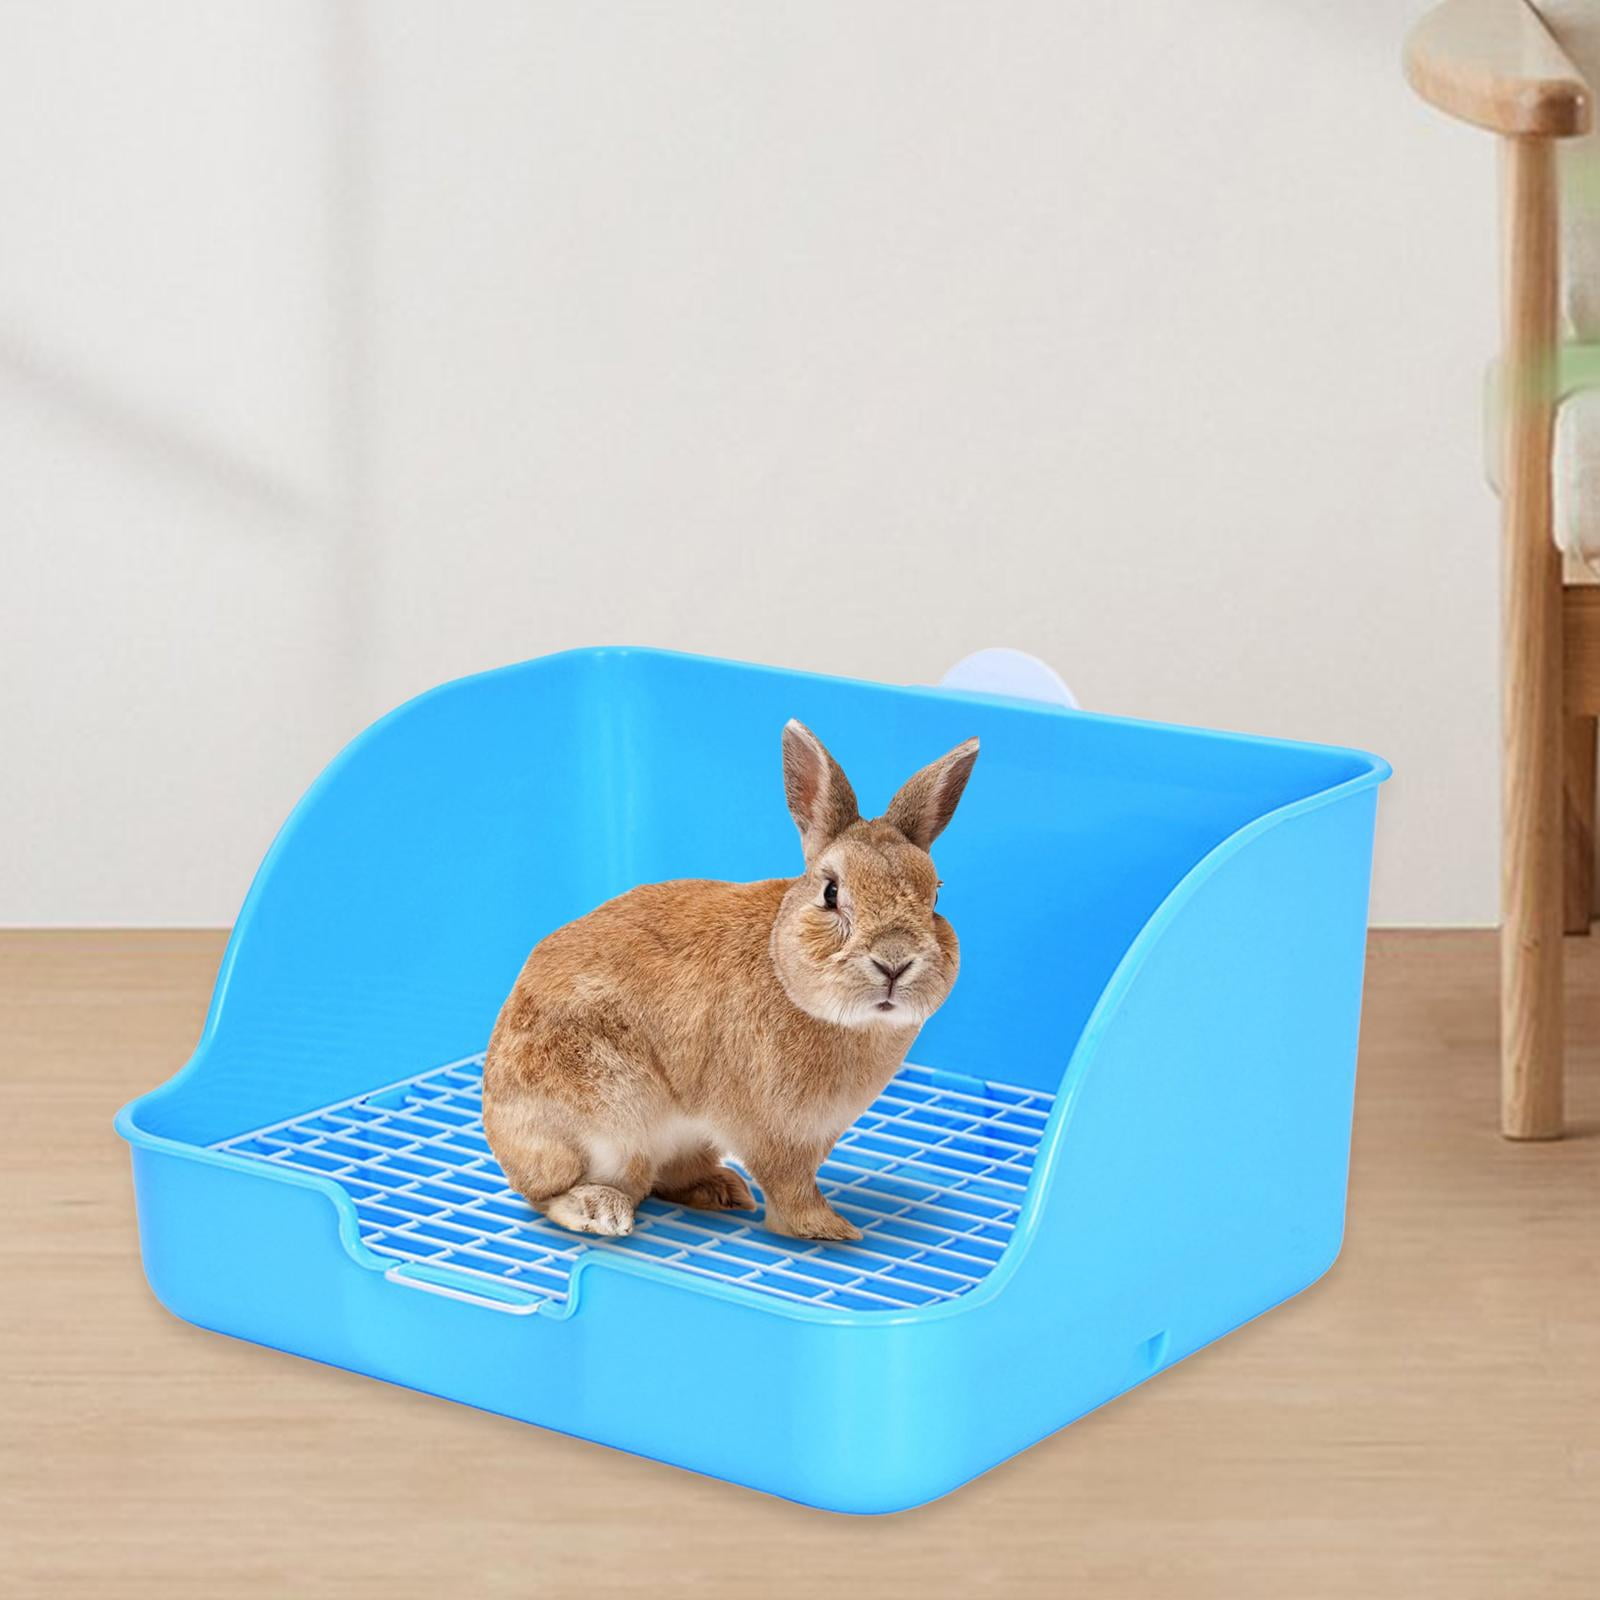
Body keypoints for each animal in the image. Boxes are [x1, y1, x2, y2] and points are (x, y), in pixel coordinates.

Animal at [481, 719, 979, 1242]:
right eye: (831, 892)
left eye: (935, 897)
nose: (894, 962)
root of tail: (497, 1132)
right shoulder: (773, 1133)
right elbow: (790, 1187)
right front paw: (829, 1229)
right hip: (609, 1125)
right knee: (552, 1193)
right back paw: (601, 1211)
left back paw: (722, 1191)